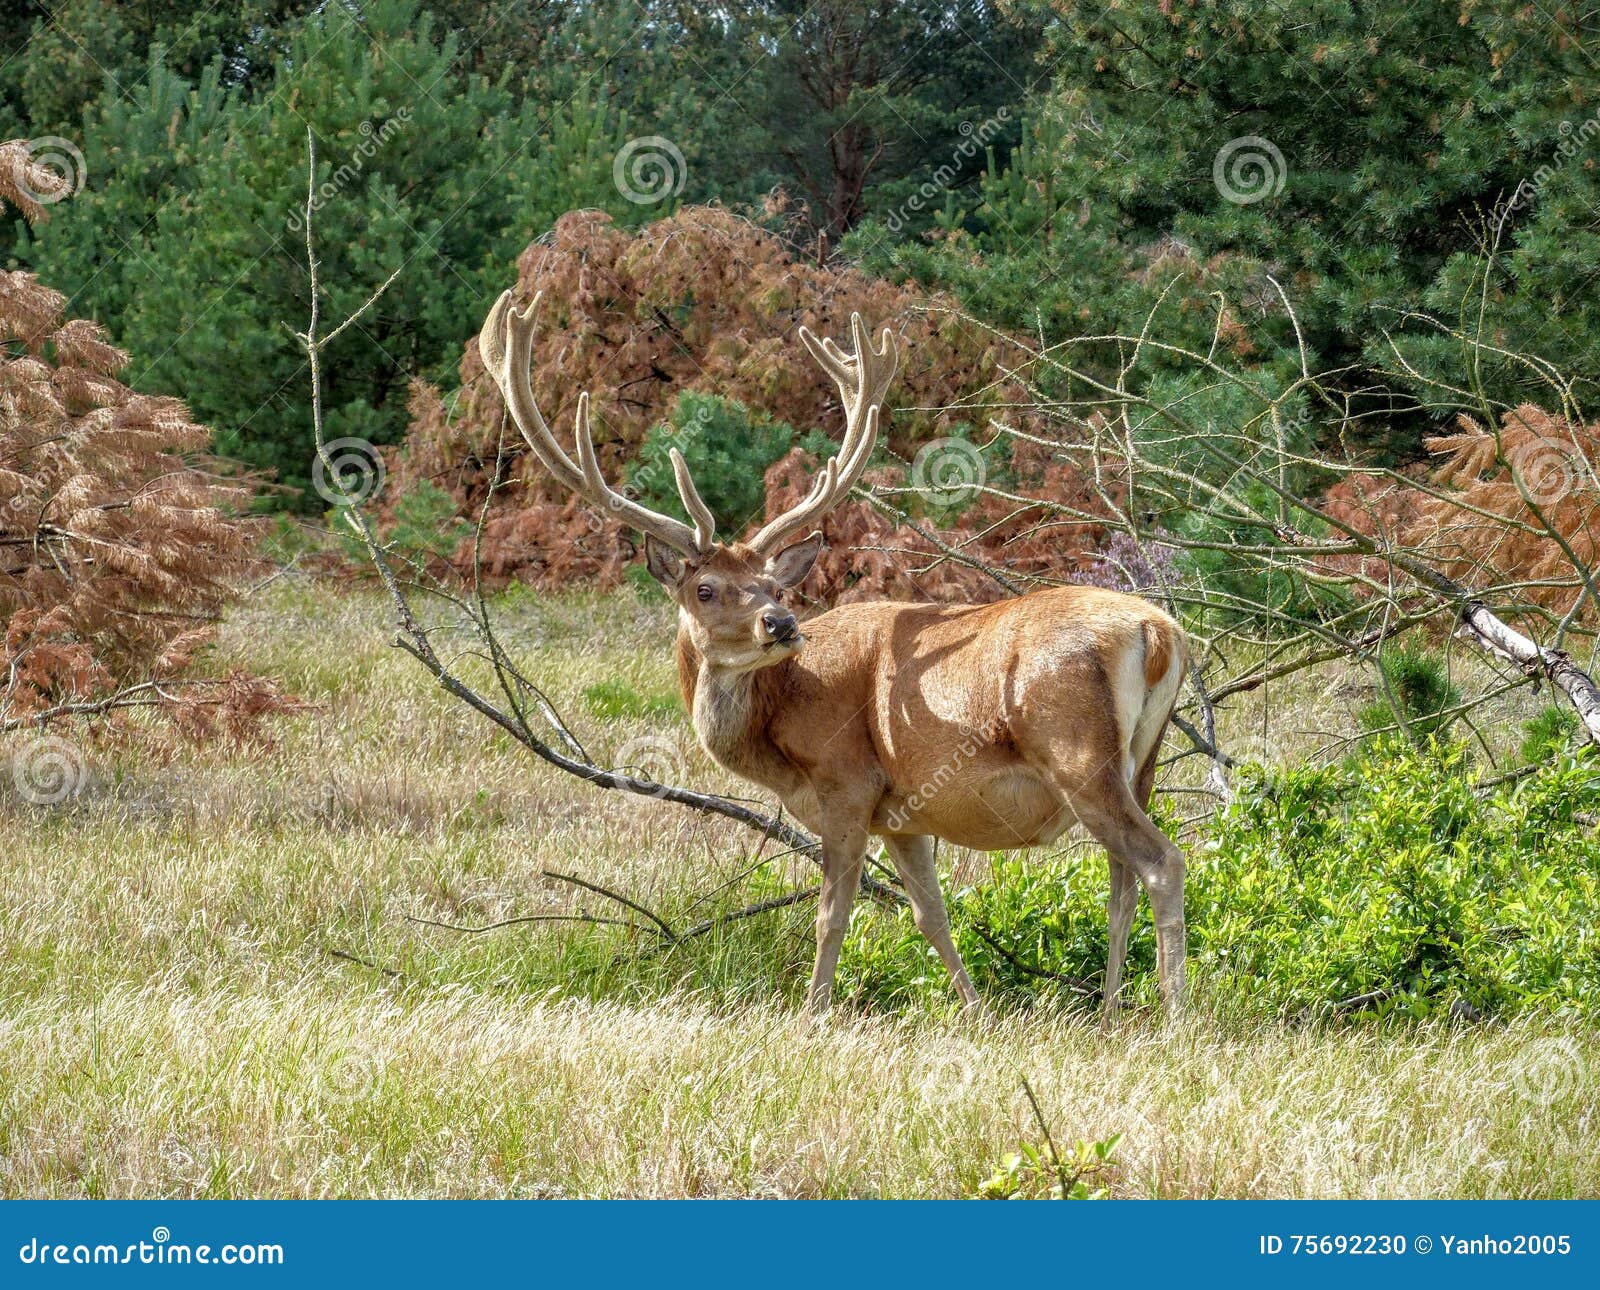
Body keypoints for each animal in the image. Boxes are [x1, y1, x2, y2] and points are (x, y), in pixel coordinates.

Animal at [476, 289, 1190, 1019]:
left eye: (772, 584)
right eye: (705, 588)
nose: (781, 622)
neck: (778, 741)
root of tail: (1159, 634)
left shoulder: (847, 782)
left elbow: (832, 914)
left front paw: (814, 1012)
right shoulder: (903, 811)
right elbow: (931, 914)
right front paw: (975, 1011)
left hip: (1075, 751)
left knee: (1161, 861)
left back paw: (1173, 1014)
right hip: (1142, 760)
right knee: (1121, 877)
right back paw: (1112, 1012)